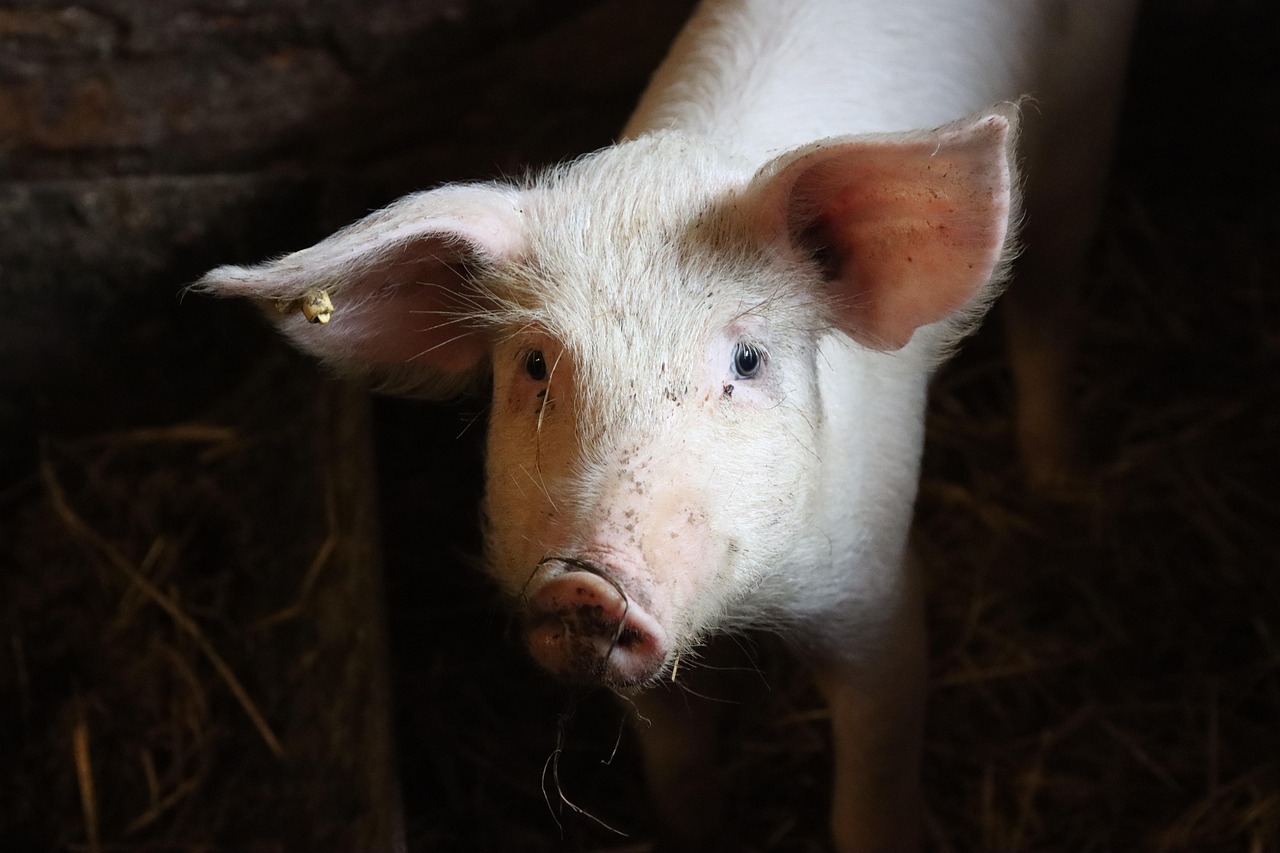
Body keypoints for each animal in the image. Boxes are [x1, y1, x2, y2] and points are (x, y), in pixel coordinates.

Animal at [199, 0, 1138, 847]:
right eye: (535, 365)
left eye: (748, 361)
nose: (584, 584)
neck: (743, 616)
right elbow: (679, 771)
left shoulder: (875, 591)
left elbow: (871, 791)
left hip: (1086, 128)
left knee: (1049, 304)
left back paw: (1059, 481)